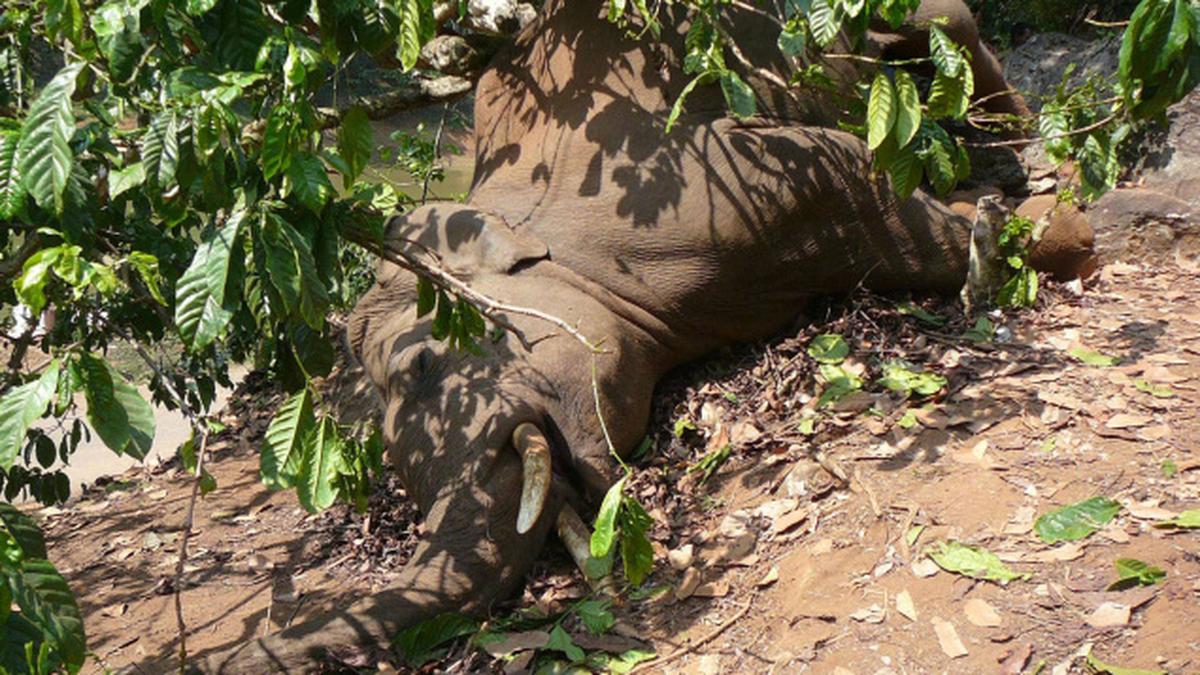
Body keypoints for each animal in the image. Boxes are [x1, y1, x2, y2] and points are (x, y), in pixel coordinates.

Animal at [200, 0, 1089, 670]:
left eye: (420, 363)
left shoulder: (712, 186)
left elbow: (851, 171)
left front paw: (1040, 231)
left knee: (940, 21)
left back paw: (1026, 155)